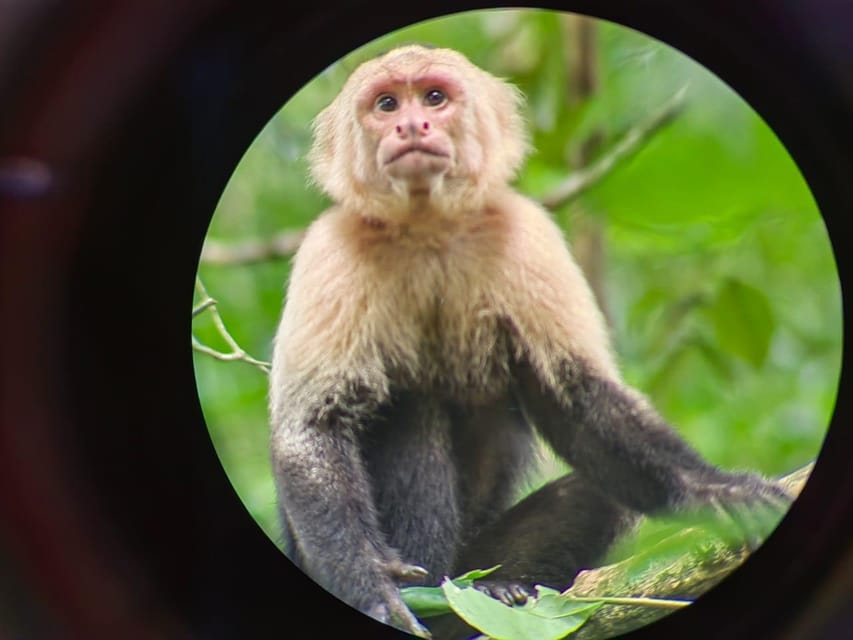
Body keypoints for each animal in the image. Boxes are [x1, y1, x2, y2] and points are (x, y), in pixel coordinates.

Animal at [268, 44, 790, 638]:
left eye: (434, 98)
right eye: (386, 105)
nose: (411, 125)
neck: (428, 229)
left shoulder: (526, 234)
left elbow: (577, 401)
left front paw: (716, 490)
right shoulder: (330, 249)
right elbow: (312, 428)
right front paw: (370, 586)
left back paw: (494, 589)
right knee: (409, 407)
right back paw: (438, 595)